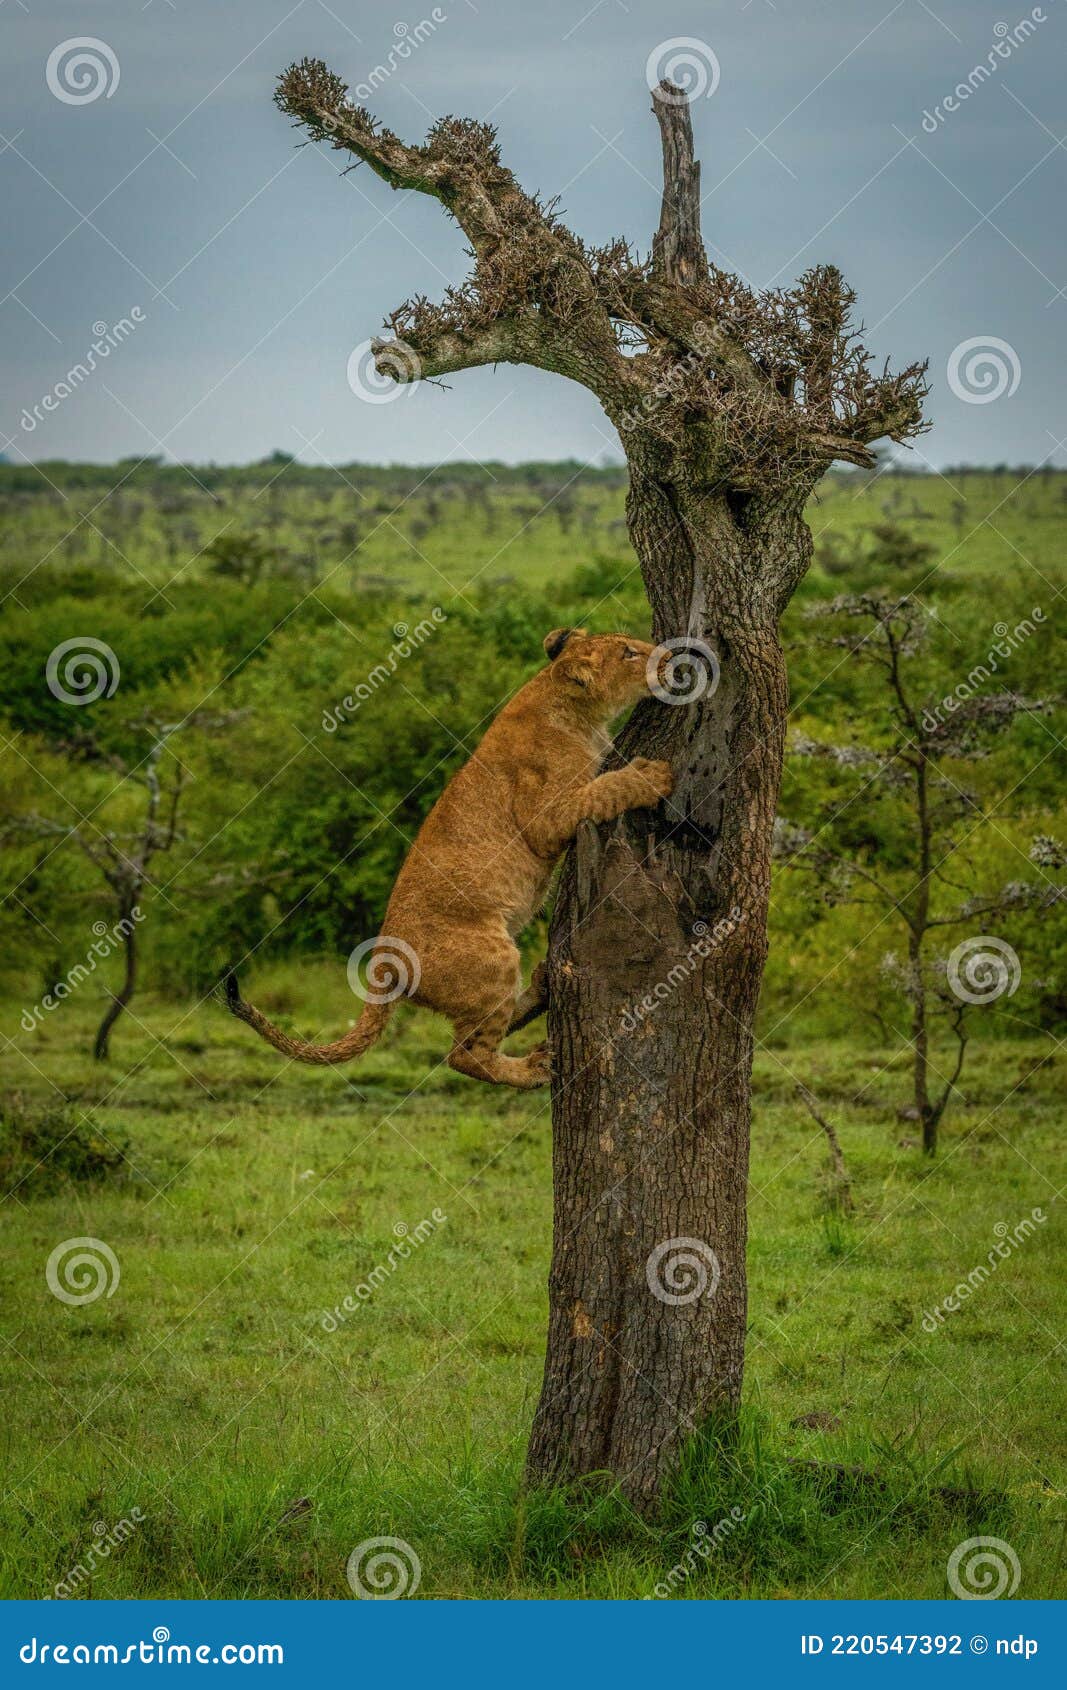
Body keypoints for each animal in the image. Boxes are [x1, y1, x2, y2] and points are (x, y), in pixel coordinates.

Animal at [223, 628, 673, 1088]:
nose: (670, 656)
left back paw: (542, 987)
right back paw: (533, 1067)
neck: (574, 710)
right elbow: (604, 788)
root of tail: (385, 964)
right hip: (494, 960)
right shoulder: (546, 818)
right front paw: (654, 775)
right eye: (629, 653)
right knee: (463, 1054)